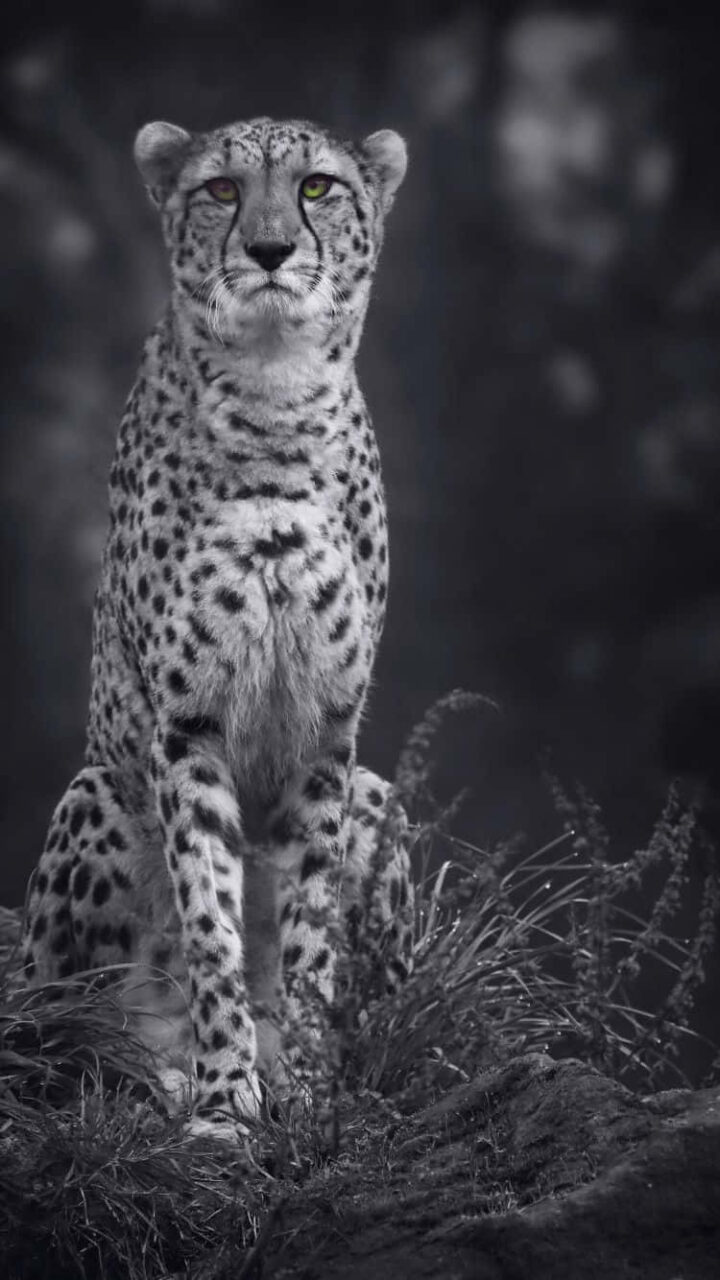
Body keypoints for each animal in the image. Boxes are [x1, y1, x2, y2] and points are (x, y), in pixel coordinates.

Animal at [21, 115, 414, 1135]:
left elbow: (308, 934)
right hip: (97, 798)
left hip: (378, 794)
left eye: (317, 187)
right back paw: (156, 1072)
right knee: (59, 1039)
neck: (274, 399)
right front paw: (226, 1101)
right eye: (222, 191)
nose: (270, 249)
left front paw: (305, 1087)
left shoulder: (327, 734)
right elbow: (209, 921)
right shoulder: (185, 728)